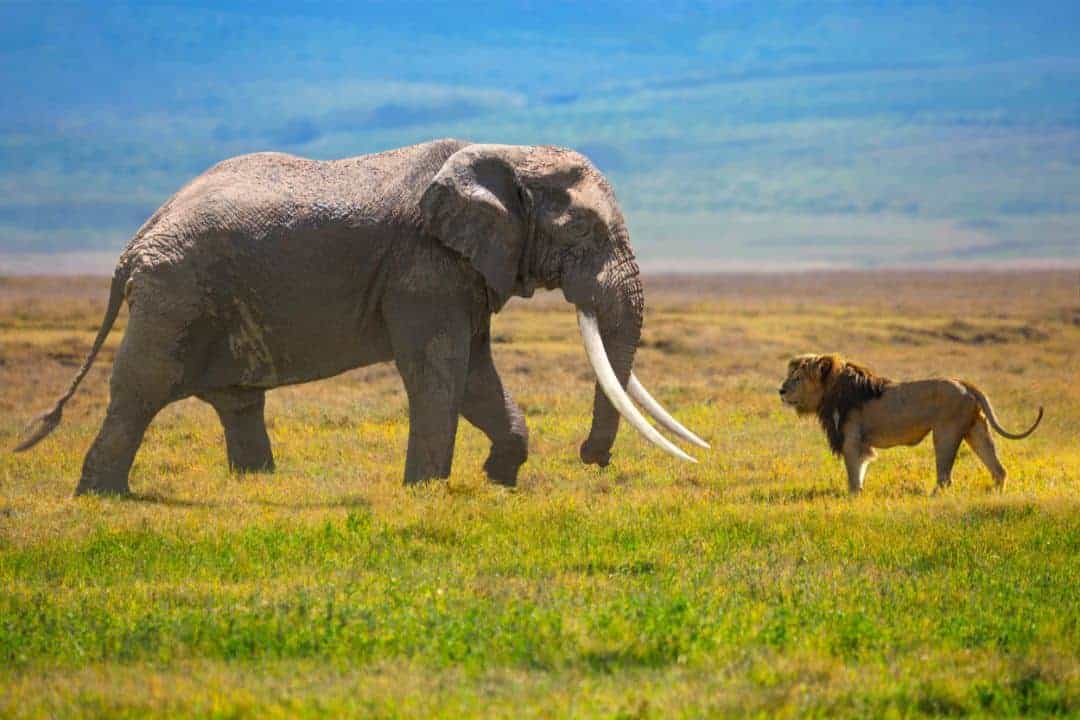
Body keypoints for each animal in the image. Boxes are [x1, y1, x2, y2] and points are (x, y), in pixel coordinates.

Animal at [779, 353, 1043, 494]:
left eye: (797, 378)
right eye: (789, 376)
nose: (780, 390)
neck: (830, 392)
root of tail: (966, 384)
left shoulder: (852, 440)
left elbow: (854, 472)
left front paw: (853, 496)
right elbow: (859, 471)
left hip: (945, 433)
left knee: (945, 477)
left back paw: (933, 495)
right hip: (976, 429)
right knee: (999, 469)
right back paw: (996, 492)